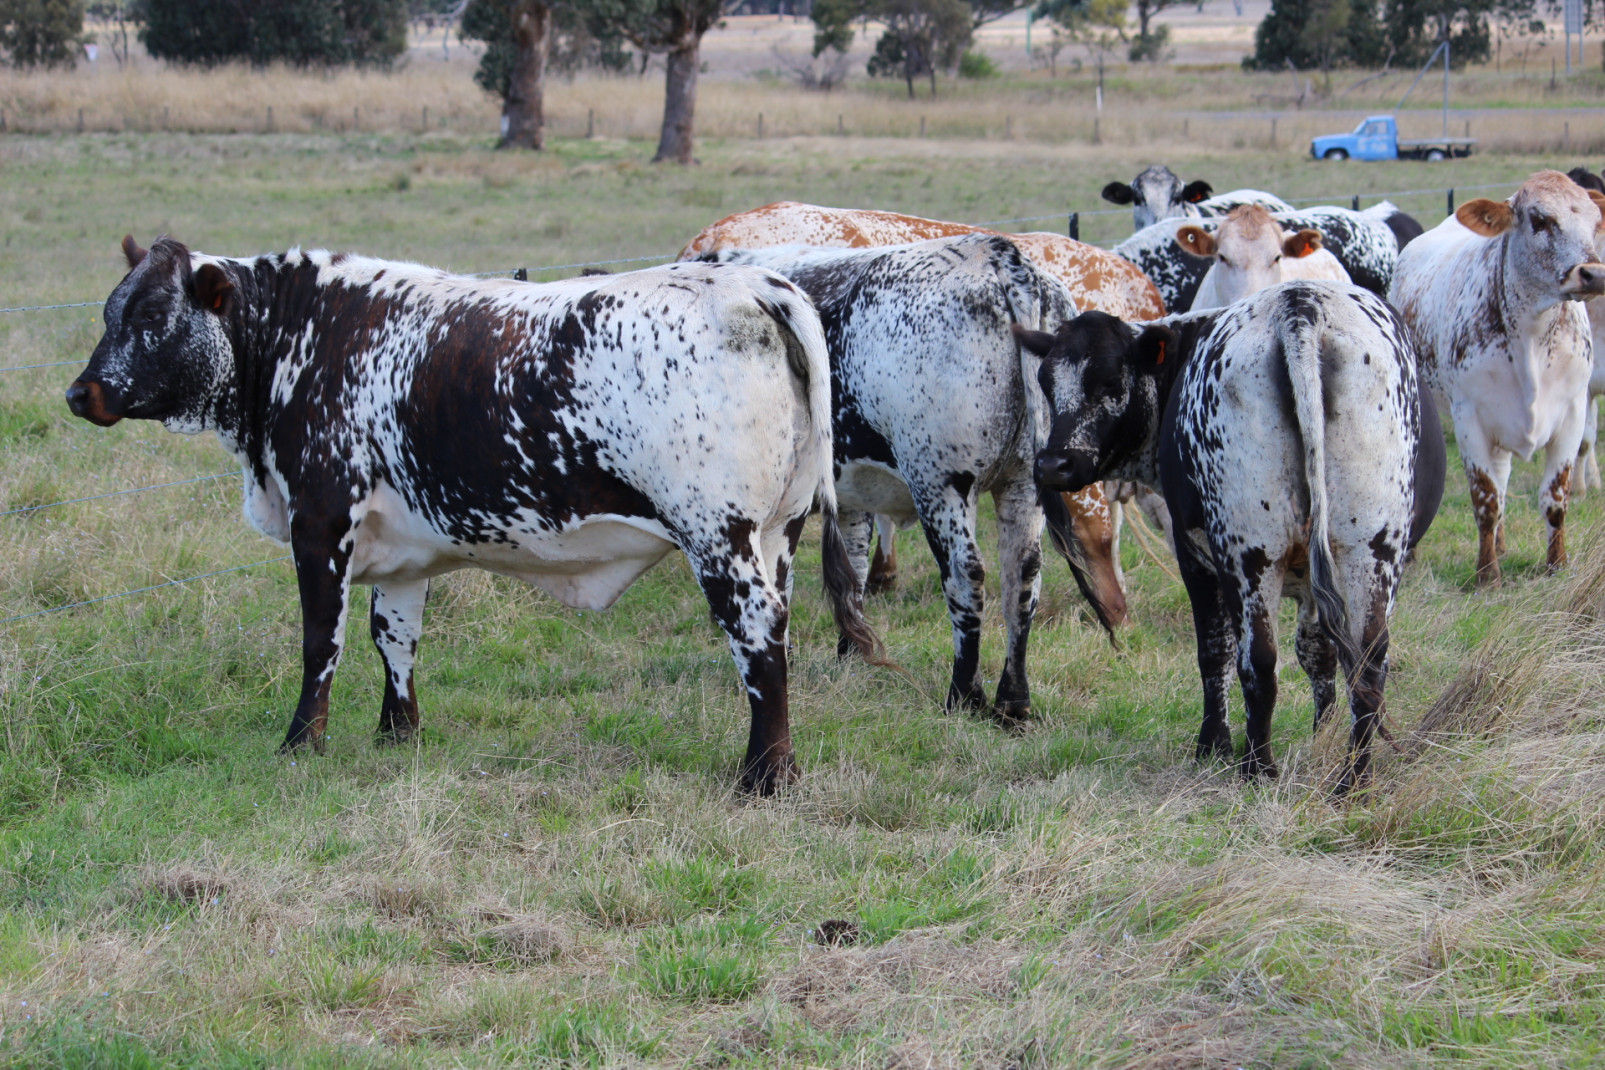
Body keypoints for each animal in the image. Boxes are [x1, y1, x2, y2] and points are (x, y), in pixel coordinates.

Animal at [65, 236, 882, 795]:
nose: (80, 393)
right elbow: (392, 637)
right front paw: (397, 735)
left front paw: (301, 744)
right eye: (109, 309)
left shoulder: (320, 524)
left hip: (719, 537)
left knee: (757, 637)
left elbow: (319, 641)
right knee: (776, 630)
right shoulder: (397, 550)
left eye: (152, 314)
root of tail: (750, 283)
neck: (301, 338)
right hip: (775, 533)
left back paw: (762, 775)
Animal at [700, 235, 1079, 725]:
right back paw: (1013, 701)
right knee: (1023, 574)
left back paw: (963, 694)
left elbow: (781, 582)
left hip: (941, 483)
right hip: (1025, 482)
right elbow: (854, 570)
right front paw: (850, 654)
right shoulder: (850, 497)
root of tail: (995, 253)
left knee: (966, 573)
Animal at [1019, 282, 1425, 790]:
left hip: (1251, 552)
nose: (1054, 464)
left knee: (1259, 662)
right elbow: (1324, 653)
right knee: (1369, 660)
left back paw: (1257, 768)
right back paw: (1354, 780)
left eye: (1110, 383)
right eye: (1047, 383)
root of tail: (1301, 305)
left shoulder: (1196, 555)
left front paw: (1212, 746)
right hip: (1370, 548)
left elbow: (1216, 652)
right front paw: (1321, 737)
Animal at [1392, 172, 1605, 585]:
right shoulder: (1470, 419)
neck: (1533, 336)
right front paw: (1487, 573)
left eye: (1594, 222)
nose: (1594, 274)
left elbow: (1555, 498)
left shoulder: (1572, 413)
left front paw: (1557, 565)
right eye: (1540, 220)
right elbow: (1486, 498)